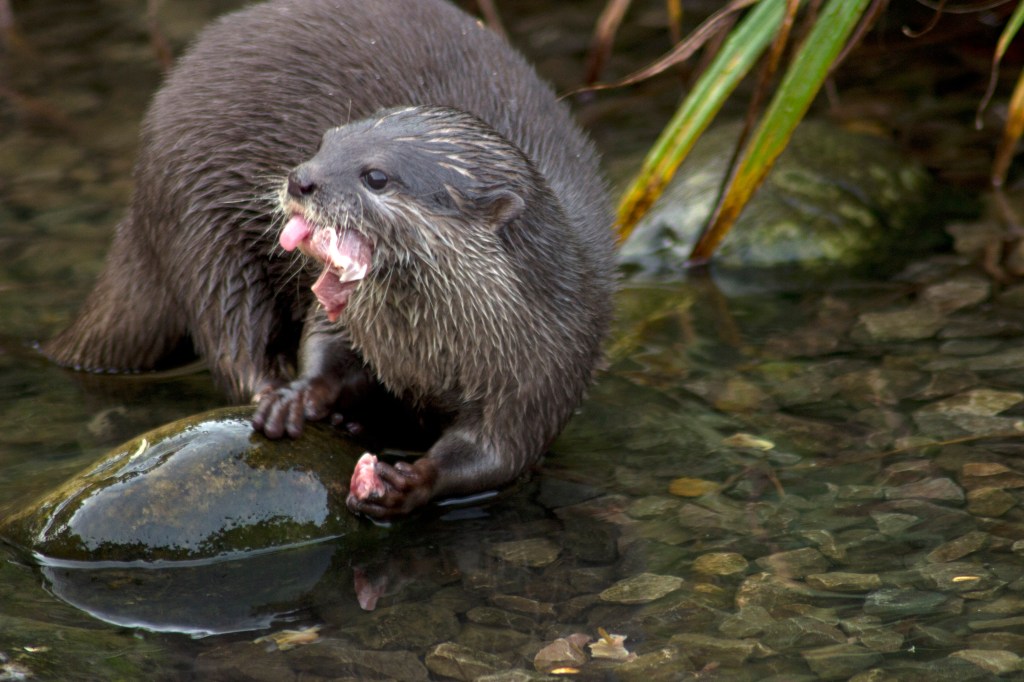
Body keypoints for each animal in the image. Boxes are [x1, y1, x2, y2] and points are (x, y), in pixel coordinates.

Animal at [43, 0, 615, 519]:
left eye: (376, 176)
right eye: (326, 141)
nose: (300, 179)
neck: (429, 354)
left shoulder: (548, 372)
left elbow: (499, 454)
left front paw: (409, 482)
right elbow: (325, 344)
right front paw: (299, 396)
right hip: (198, 222)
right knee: (229, 333)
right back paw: (275, 391)